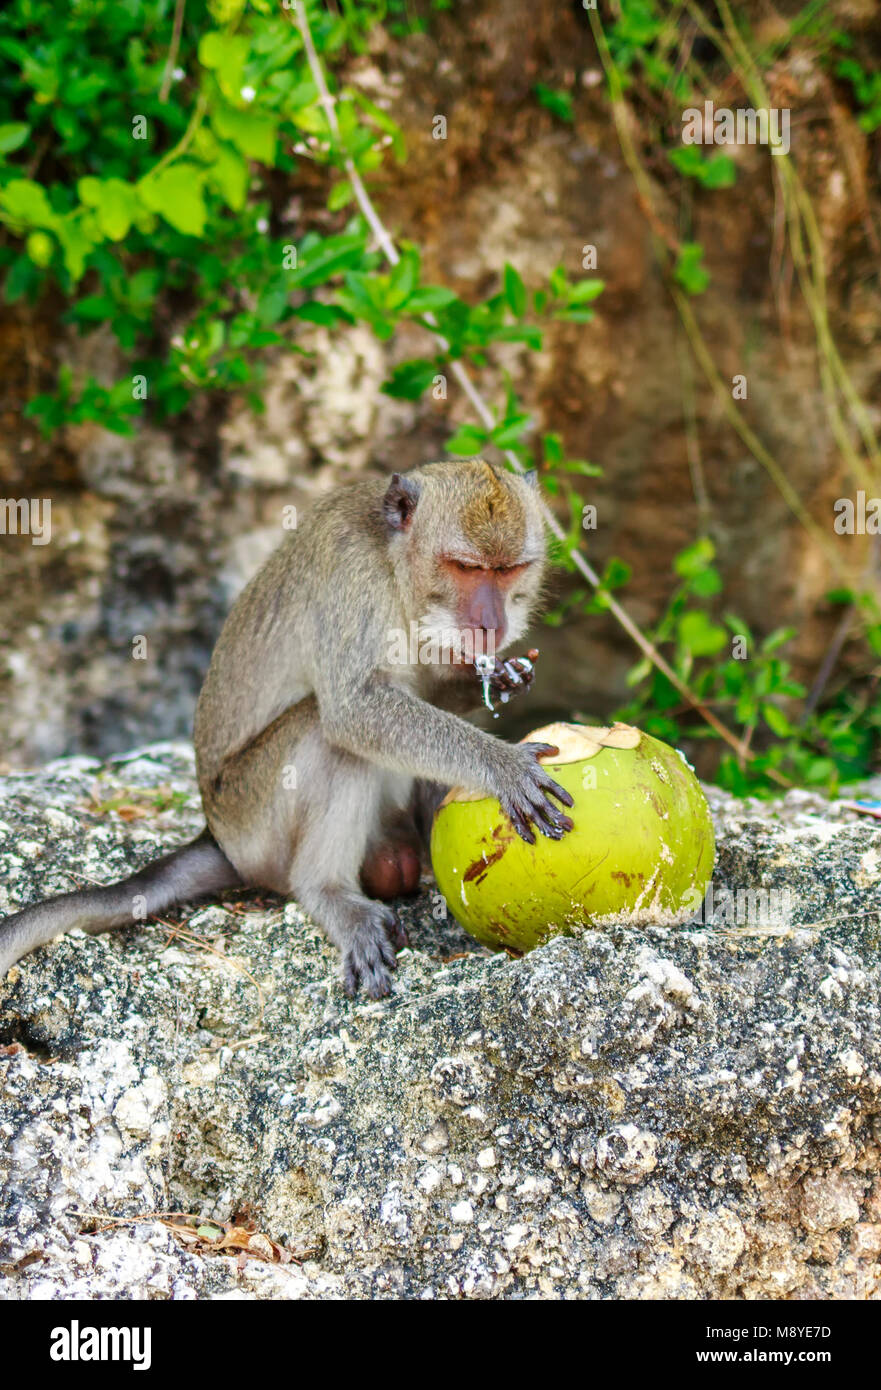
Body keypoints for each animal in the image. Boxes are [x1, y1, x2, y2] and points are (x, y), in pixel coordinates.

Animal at [0, 458, 574, 998]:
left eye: (509, 570)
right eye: (465, 567)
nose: (490, 623)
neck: (396, 569)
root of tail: (219, 838)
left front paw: (500, 679)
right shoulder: (352, 578)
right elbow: (355, 710)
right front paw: (502, 765)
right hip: (254, 821)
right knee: (324, 734)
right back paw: (328, 893)